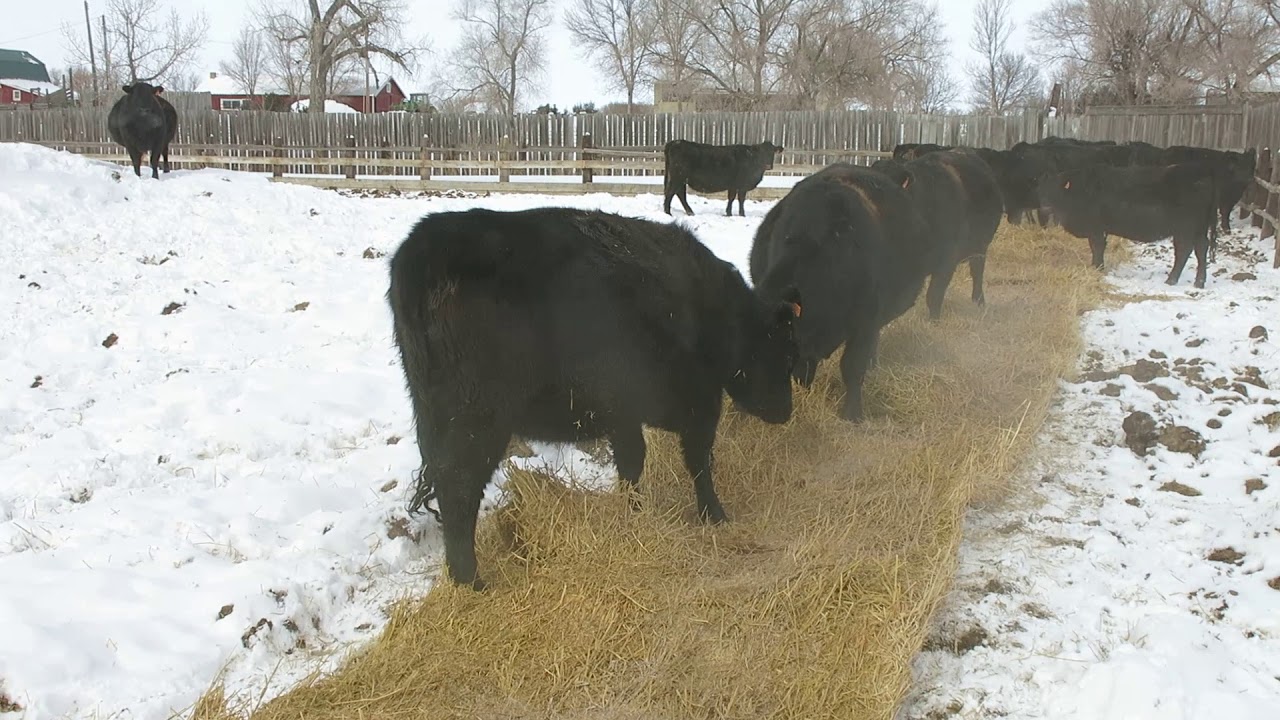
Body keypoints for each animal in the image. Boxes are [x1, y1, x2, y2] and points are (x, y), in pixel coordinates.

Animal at [387, 207, 802, 589]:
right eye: (782, 352)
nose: (786, 410)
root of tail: (425, 247)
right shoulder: (699, 404)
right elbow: (699, 463)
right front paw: (714, 514)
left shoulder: (623, 411)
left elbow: (632, 462)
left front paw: (635, 512)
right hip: (476, 420)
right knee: (459, 488)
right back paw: (471, 581)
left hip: (433, 414)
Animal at [871, 149, 1005, 319]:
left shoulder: (947, 258)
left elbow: (934, 294)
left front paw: (933, 320)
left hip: (980, 246)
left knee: (977, 271)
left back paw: (979, 301)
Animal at [1038, 163, 1219, 289]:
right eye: (1042, 189)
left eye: (1056, 189)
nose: (1044, 206)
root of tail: (1201, 170)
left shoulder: (1095, 228)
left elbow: (1096, 247)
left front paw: (1097, 267)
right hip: (1199, 228)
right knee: (1201, 248)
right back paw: (1199, 282)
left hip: (1185, 228)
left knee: (1184, 250)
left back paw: (1172, 280)